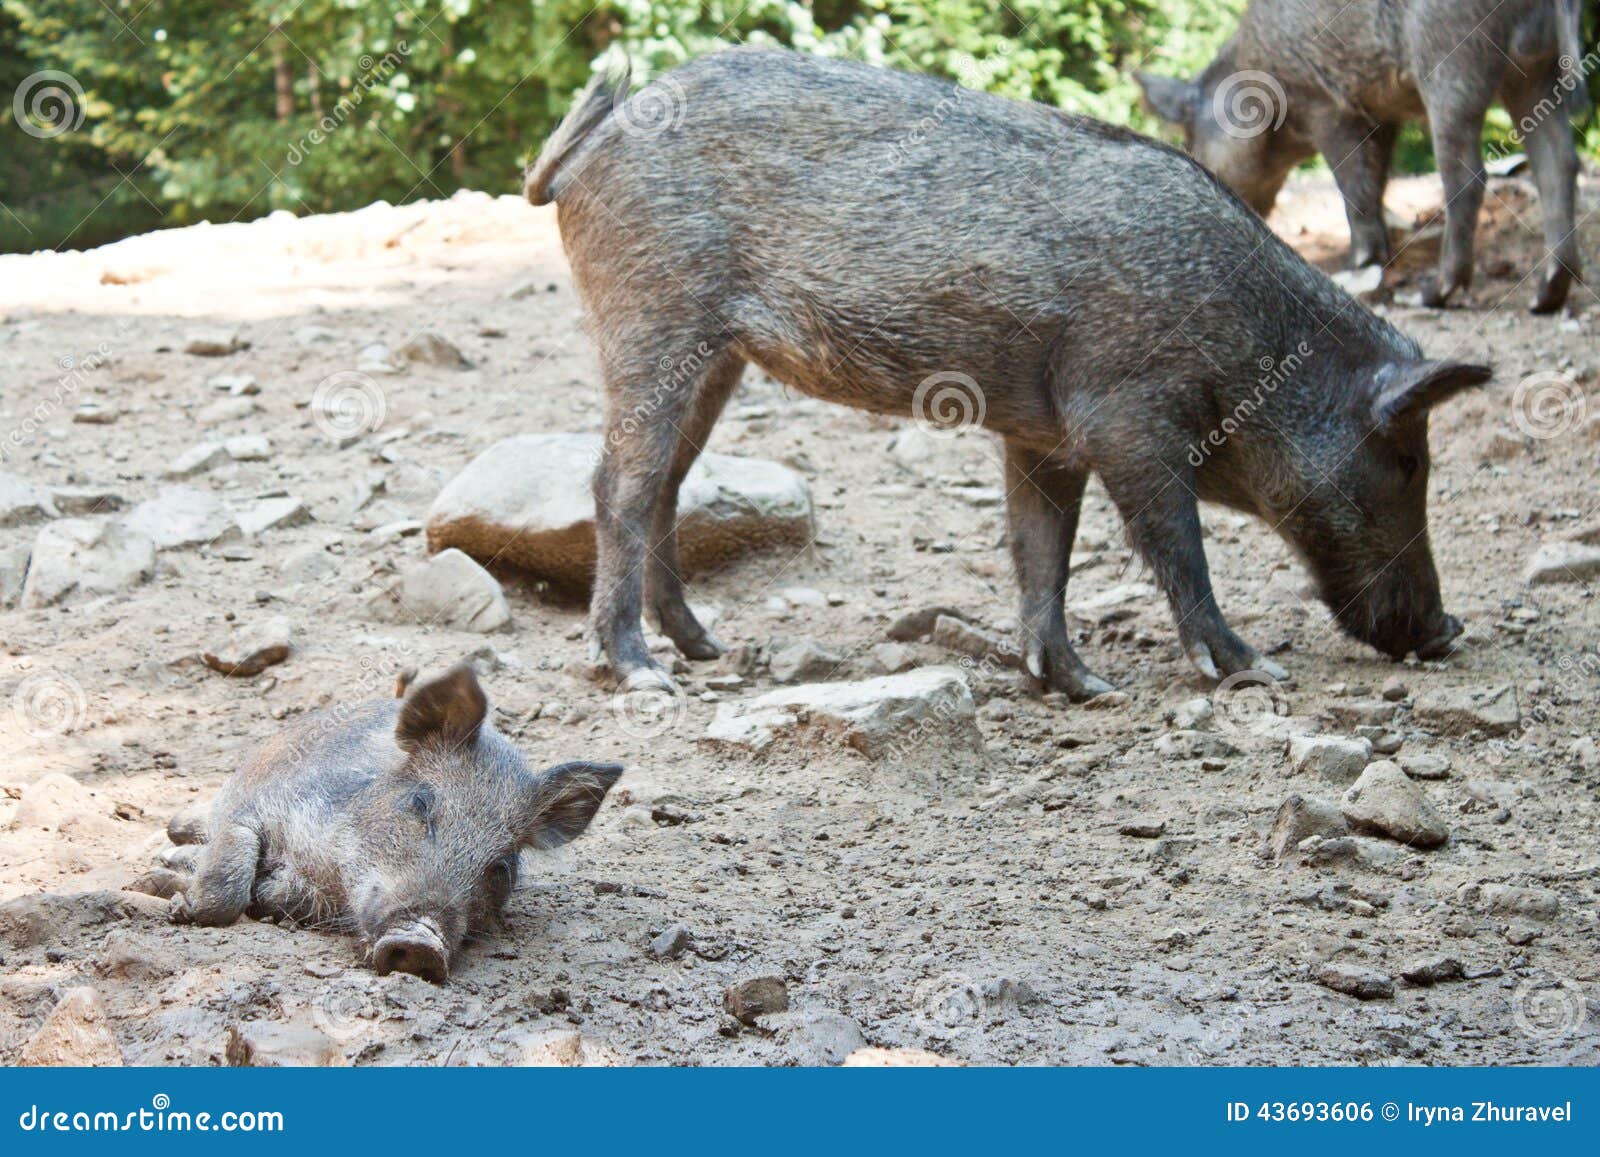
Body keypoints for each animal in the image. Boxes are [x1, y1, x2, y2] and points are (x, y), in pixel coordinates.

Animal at [166, 664, 621, 982]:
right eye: (421, 803)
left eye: (501, 865)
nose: (421, 940)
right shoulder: (256, 804)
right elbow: (227, 878)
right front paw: (177, 907)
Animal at [525, 48, 1487, 702]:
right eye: (1408, 459)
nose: (1446, 629)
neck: (1250, 342)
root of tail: (591, 142)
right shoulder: (1128, 416)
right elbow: (1175, 542)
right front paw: (1250, 669)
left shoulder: (1043, 437)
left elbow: (1041, 550)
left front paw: (1081, 686)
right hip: (654, 320)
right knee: (619, 485)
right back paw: (642, 672)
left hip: (714, 358)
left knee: (667, 488)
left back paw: (709, 652)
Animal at [1136, 0, 1588, 313]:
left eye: (1190, 134)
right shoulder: (1382, 114)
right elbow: (1377, 178)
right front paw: (1379, 259)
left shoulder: (1328, 104)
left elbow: (1353, 184)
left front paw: (1359, 264)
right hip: (1536, 70)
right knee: (1559, 164)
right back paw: (1545, 298)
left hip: (1452, 64)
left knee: (1469, 176)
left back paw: (1433, 294)